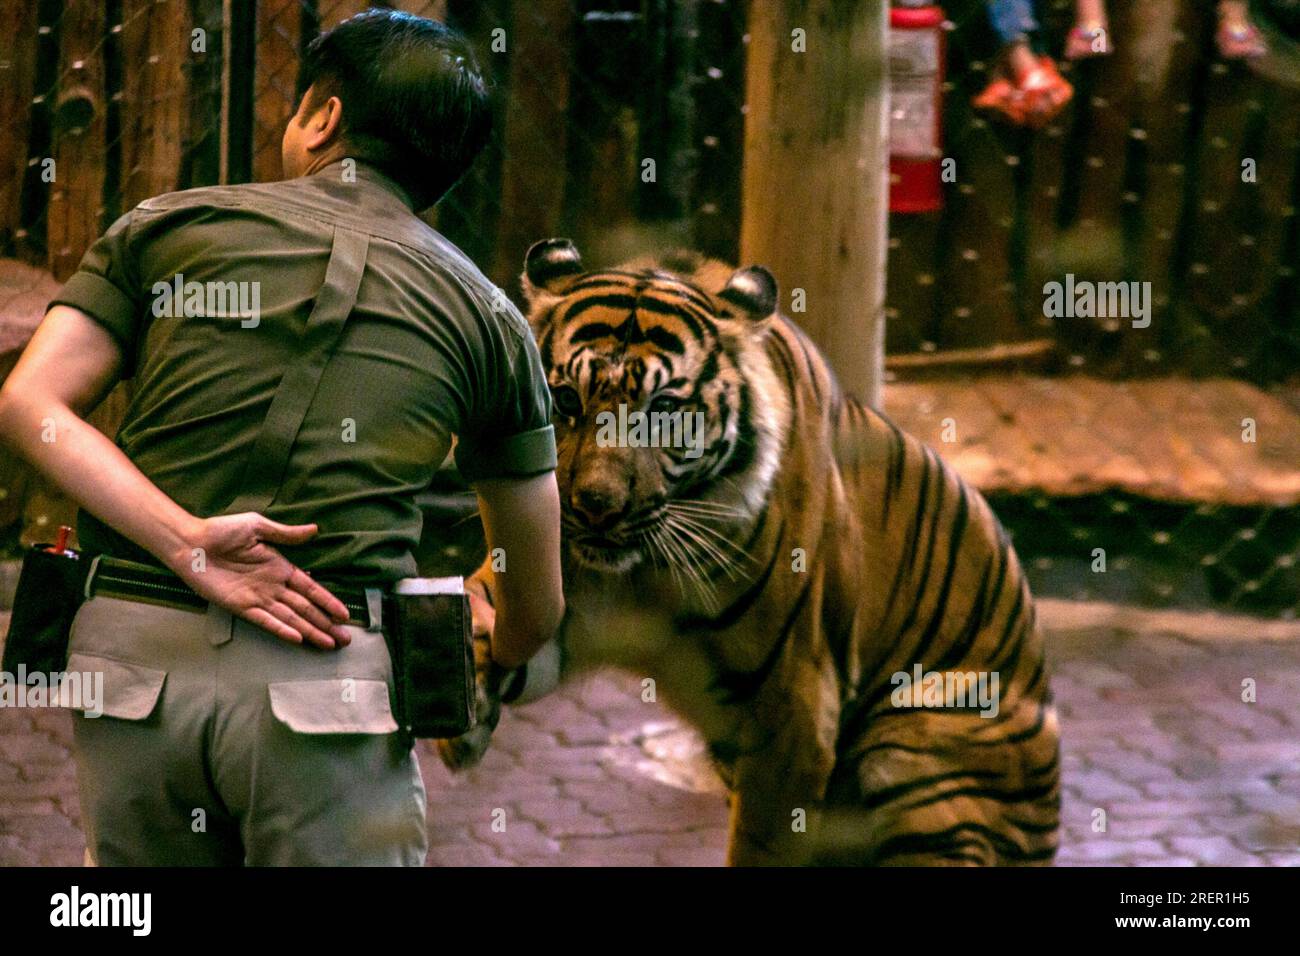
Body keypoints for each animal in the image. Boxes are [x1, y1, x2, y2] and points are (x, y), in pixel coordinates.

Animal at [439, 237, 1061, 866]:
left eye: (663, 411)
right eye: (565, 398)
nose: (597, 506)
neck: (643, 571)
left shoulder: (794, 713)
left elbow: (763, 841)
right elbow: (485, 610)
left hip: (916, 742)